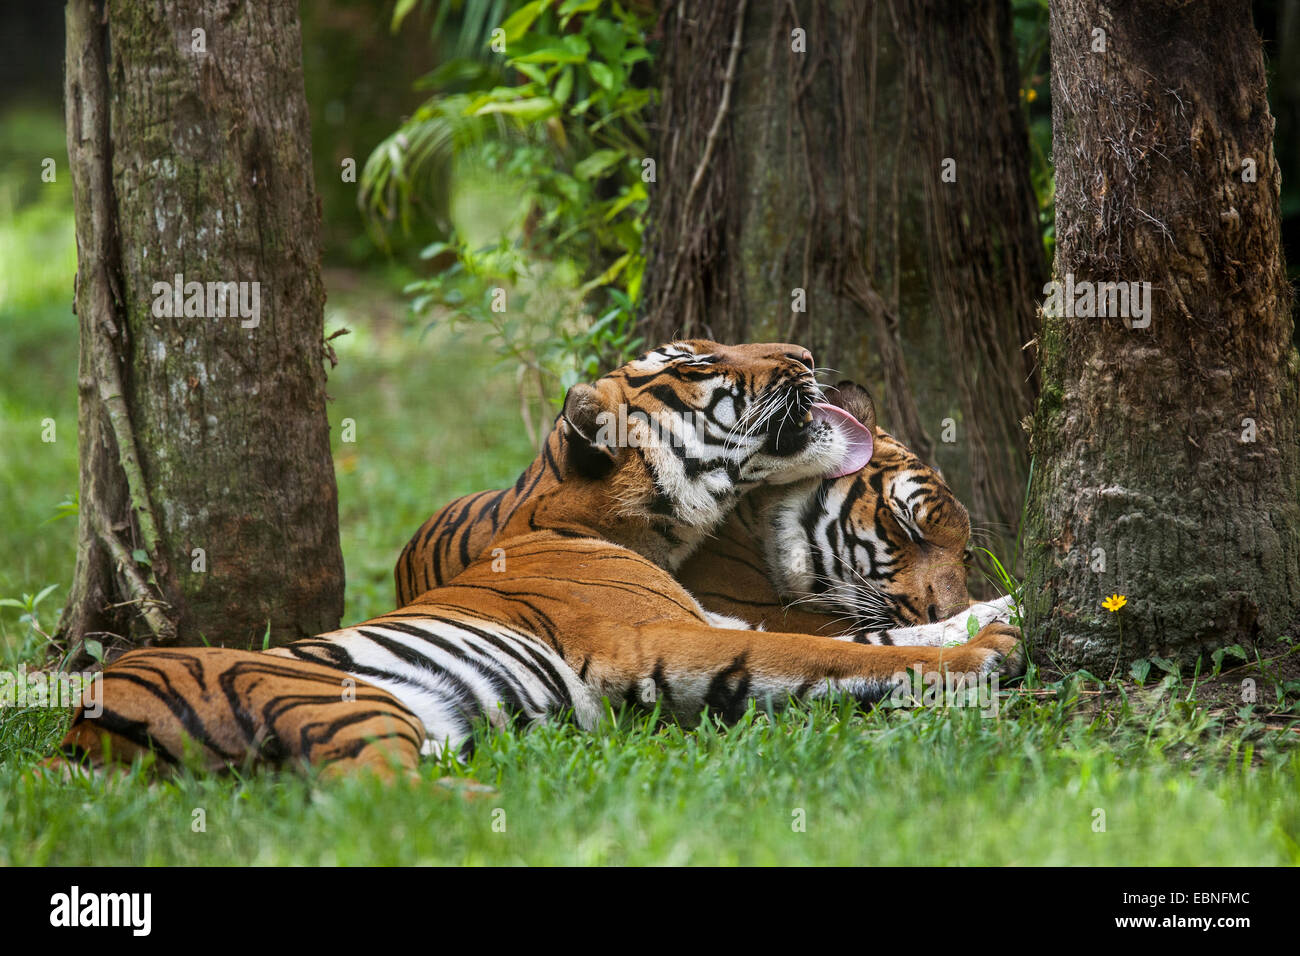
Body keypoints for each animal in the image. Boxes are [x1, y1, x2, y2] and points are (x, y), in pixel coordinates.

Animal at [54, 341, 1022, 780]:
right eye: (701, 363)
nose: (807, 352)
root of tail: (79, 734)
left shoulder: (713, 615)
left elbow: (867, 639)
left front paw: (991, 619)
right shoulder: (672, 635)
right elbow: (825, 652)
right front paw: (985, 655)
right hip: (326, 703)